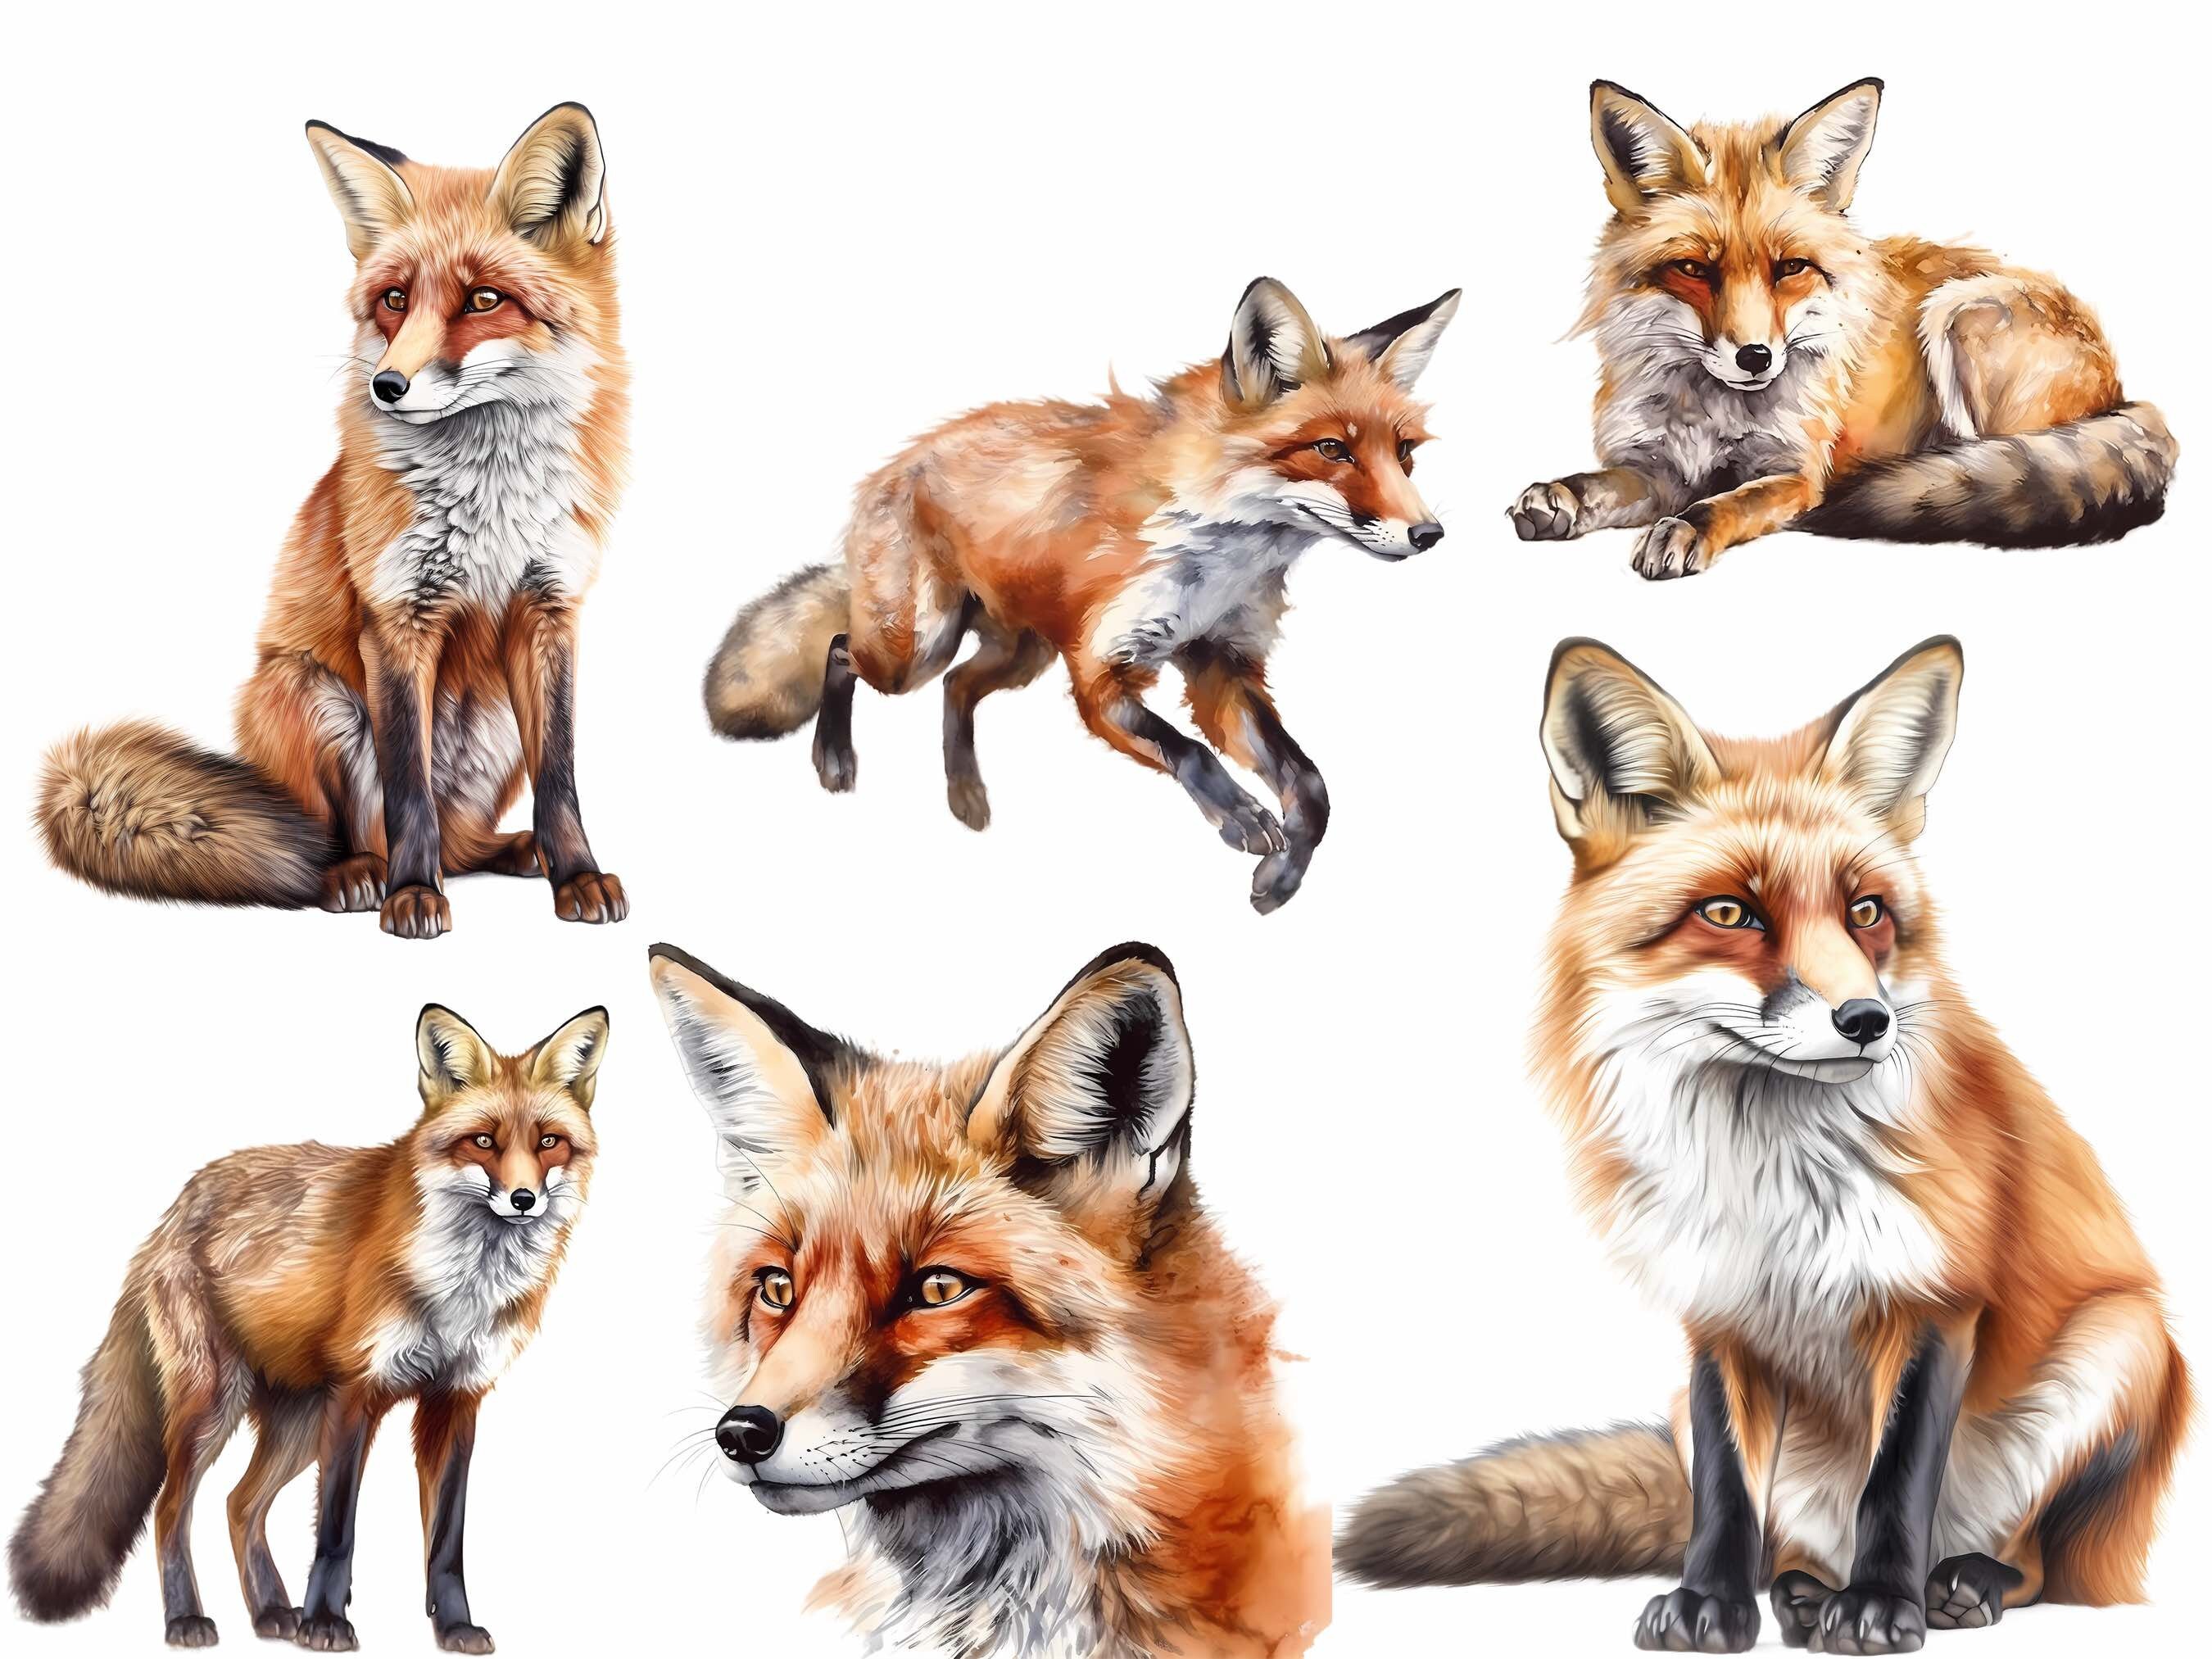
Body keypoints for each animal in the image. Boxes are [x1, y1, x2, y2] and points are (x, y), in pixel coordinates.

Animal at [8, 1003, 608, 1652]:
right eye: (483, 1141)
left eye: (548, 1142)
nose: (523, 1198)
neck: (462, 1289)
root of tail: (173, 1211)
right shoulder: (358, 1391)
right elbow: (337, 1532)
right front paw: (326, 1623)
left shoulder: (456, 1399)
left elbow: (446, 1543)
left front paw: (454, 1626)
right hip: (216, 1405)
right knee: (172, 1510)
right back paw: (187, 1619)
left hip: (298, 1423)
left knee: (240, 1504)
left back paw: (272, 1611)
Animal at [34, 104, 630, 939]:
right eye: (394, 300)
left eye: (484, 301)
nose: (388, 385)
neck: (489, 496)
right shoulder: (396, 617)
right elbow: (408, 787)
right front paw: (412, 896)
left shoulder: (550, 609)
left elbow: (562, 778)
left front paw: (575, 873)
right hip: (308, 695)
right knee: (345, 835)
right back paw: (360, 875)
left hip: (495, 726)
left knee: (463, 841)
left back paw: (513, 851)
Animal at [704, 276, 1459, 913]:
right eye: (1332, 450)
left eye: (1405, 454)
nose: (1429, 533)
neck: (1220, 555)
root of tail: (888, 471)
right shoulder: (1101, 668)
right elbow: (1187, 750)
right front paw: (1241, 817)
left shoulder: (1220, 660)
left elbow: (1311, 786)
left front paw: (1281, 876)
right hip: (915, 645)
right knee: (842, 648)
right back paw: (835, 757)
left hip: (1019, 654)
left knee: (956, 687)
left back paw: (966, 795)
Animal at [1340, 639, 2191, 1652]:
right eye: (1729, 914)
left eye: (1867, 912)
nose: (1867, 1020)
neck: (1773, 1183)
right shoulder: (1717, 1316)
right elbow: (1725, 1490)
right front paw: (1711, 1601)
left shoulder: (1936, 1300)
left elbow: (1896, 1481)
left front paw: (1881, 1605)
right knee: (1788, 1537)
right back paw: (1801, 1592)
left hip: (2123, 1343)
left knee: (2033, 1563)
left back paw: (1953, 1584)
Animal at [1508, 78, 2177, 578]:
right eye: (1695, 269)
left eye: (1791, 268)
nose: (1755, 357)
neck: (1711, 413)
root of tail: (2122, 390)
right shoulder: (1659, 468)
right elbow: (1601, 483)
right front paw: (1562, 495)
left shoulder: (1794, 474)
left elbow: (1729, 502)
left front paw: (1689, 527)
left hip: (1956, 315)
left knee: (1997, 461)